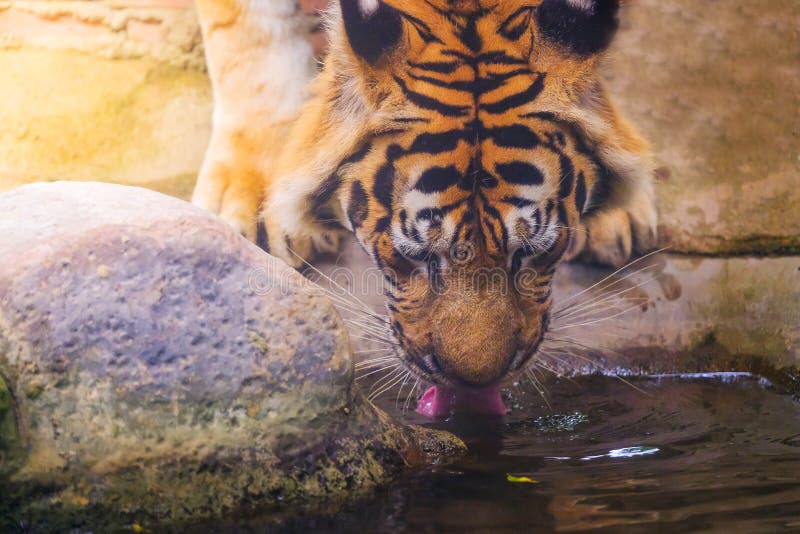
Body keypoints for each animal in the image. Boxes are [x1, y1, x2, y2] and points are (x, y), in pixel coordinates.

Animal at [191, 0, 657, 390]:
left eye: (531, 252)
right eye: (414, 255)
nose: (476, 384)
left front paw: (616, 213)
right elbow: (250, 51)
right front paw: (253, 205)